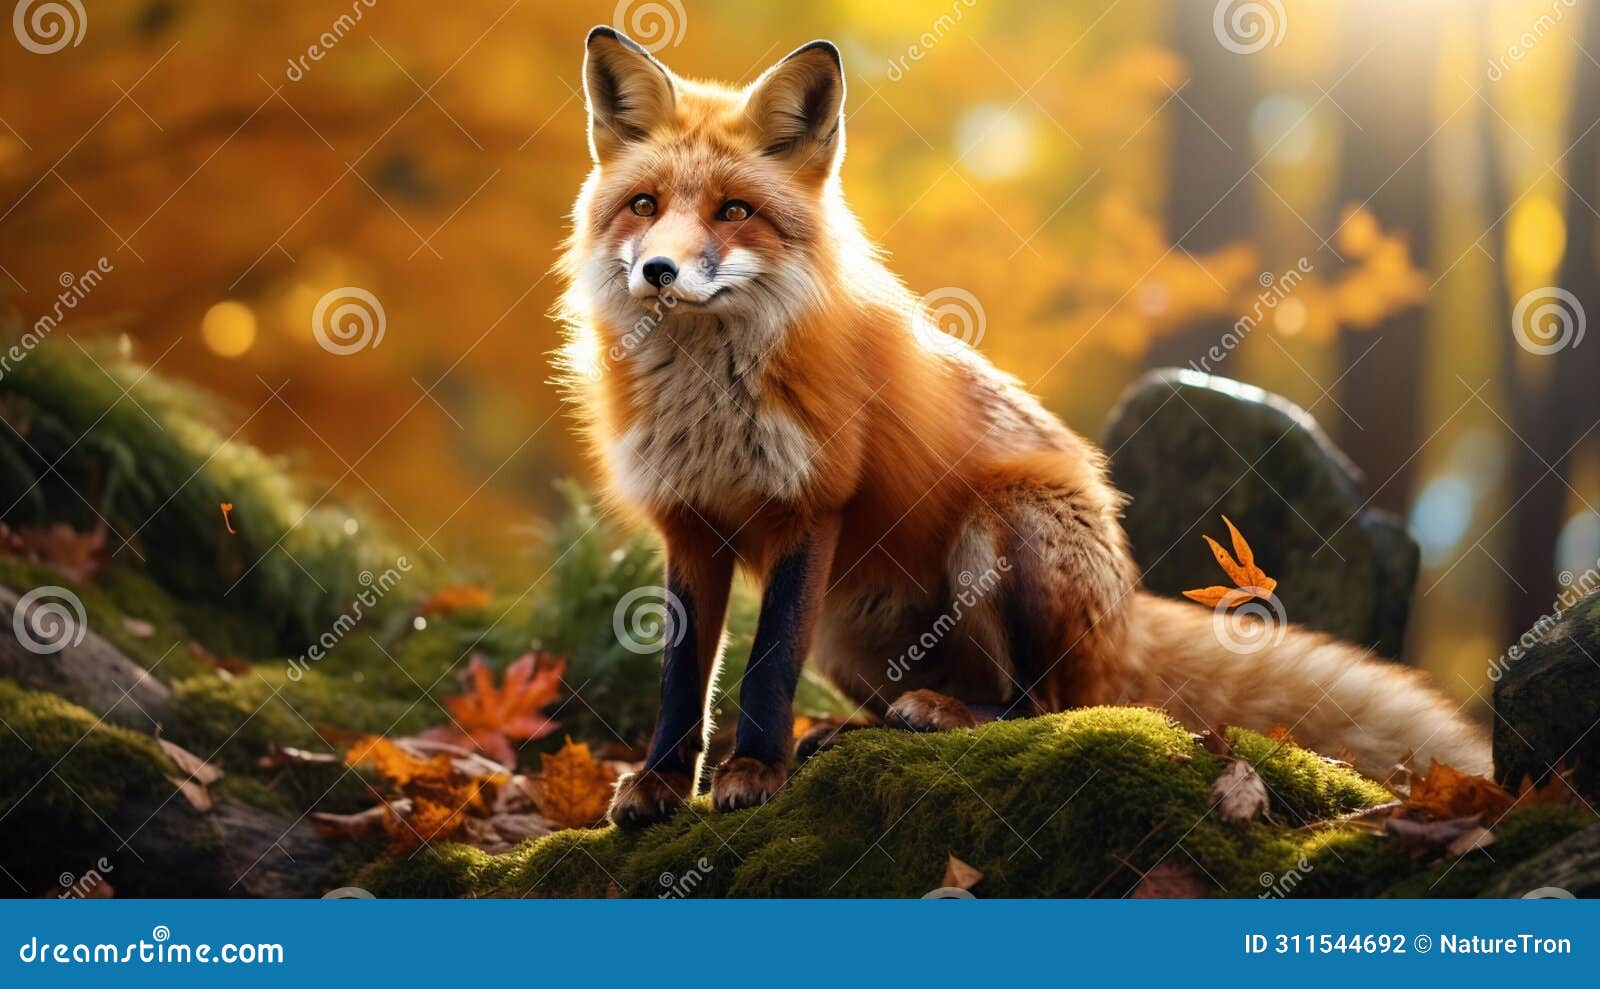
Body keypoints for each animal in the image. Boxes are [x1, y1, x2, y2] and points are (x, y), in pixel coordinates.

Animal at [555, 28, 1492, 828]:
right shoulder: (689, 522)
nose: (658, 270)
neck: (708, 400)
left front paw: (753, 770)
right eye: (644, 205)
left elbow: (763, 669)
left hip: (1001, 523)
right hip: (848, 632)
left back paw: (943, 713)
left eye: (734, 211)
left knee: (1046, 707)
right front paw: (662, 782)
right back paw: (857, 729)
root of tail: (1127, 613)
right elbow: (682, 680)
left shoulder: (808, 507)